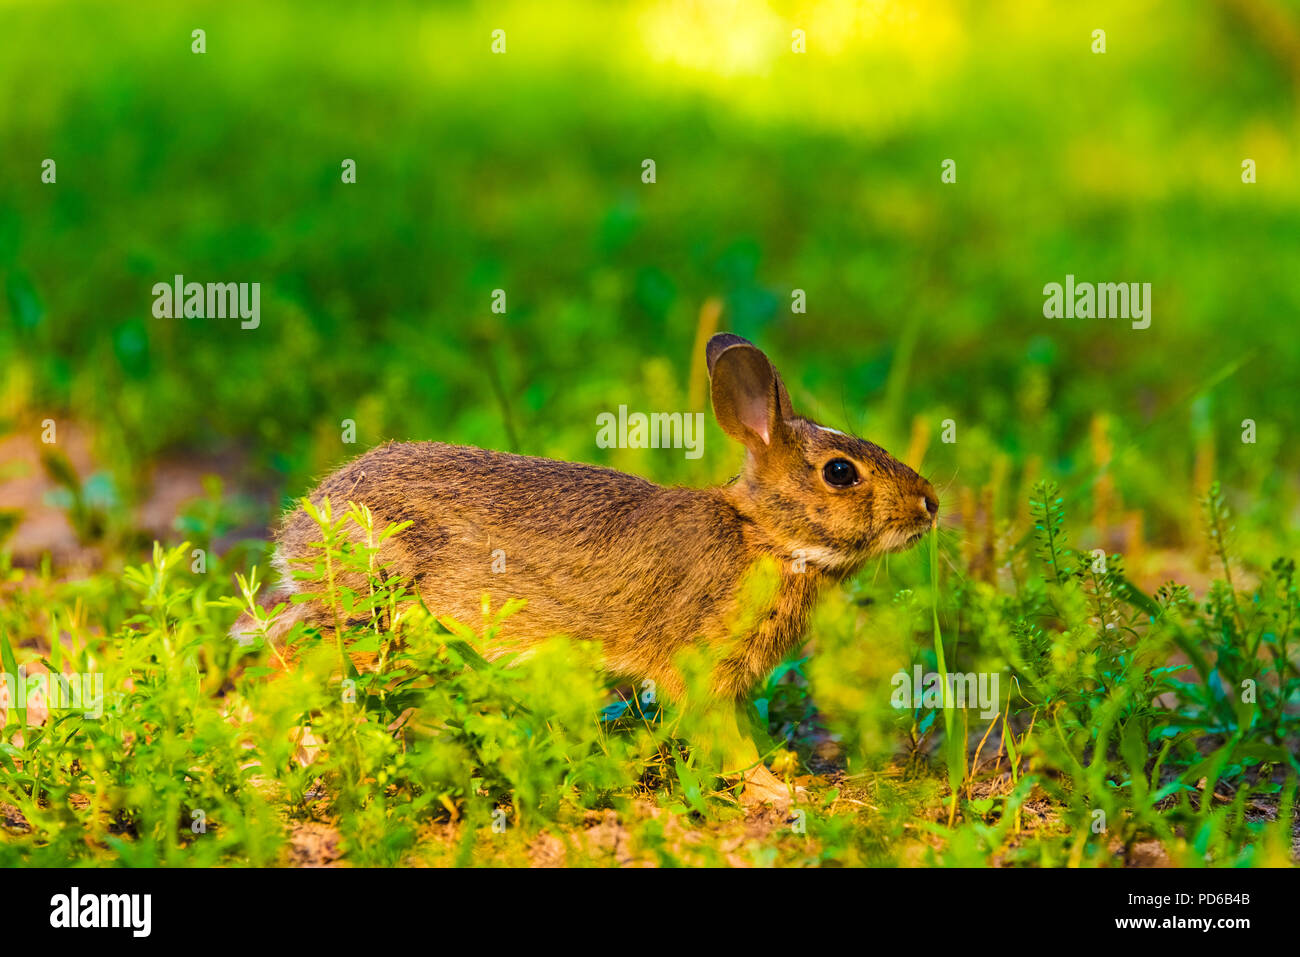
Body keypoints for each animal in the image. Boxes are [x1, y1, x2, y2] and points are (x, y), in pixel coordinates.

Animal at [233, 333, 938, 803]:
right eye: (841, 472)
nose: (930, 505)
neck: (762, 534)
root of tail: (303, 528)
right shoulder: (699, 669)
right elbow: (726, 741)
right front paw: (778, 791)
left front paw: (788, 770)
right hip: (379, 620)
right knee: (289, 671)